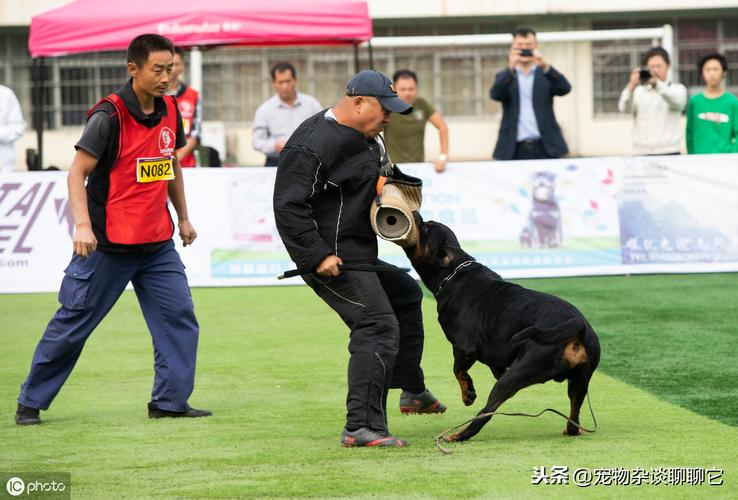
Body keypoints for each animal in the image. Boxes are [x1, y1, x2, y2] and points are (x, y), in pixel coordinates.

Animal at [402, 218, 600, 442]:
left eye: (426, 228)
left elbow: (458, 370)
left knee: (486, 413)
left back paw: (459, 435)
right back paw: (572, 429)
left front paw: (468, 394)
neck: (454, 273)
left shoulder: (464, 347)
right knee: (575, 412)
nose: (417, 216)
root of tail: (577, 324)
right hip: (579, 382)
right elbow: (490, 364)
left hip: (516, 376)